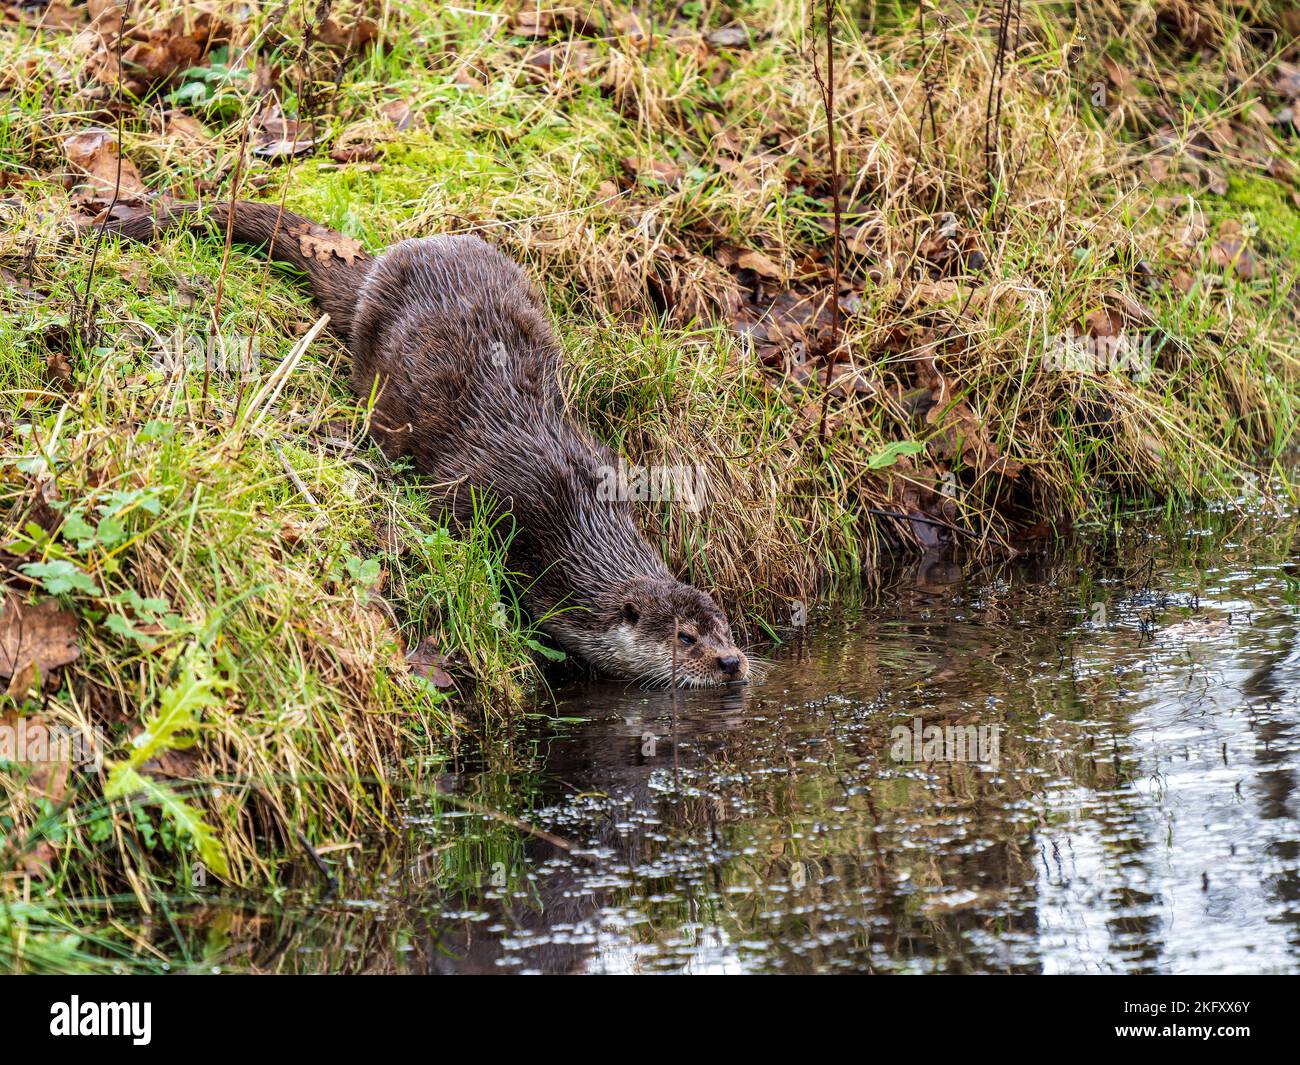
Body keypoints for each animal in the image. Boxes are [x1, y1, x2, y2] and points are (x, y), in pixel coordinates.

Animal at [97, 201, 749, 687]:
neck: (573, 519)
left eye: (724, 628)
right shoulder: (481, 495)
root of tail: (374, 263)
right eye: (686, 637)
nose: (732, 662)